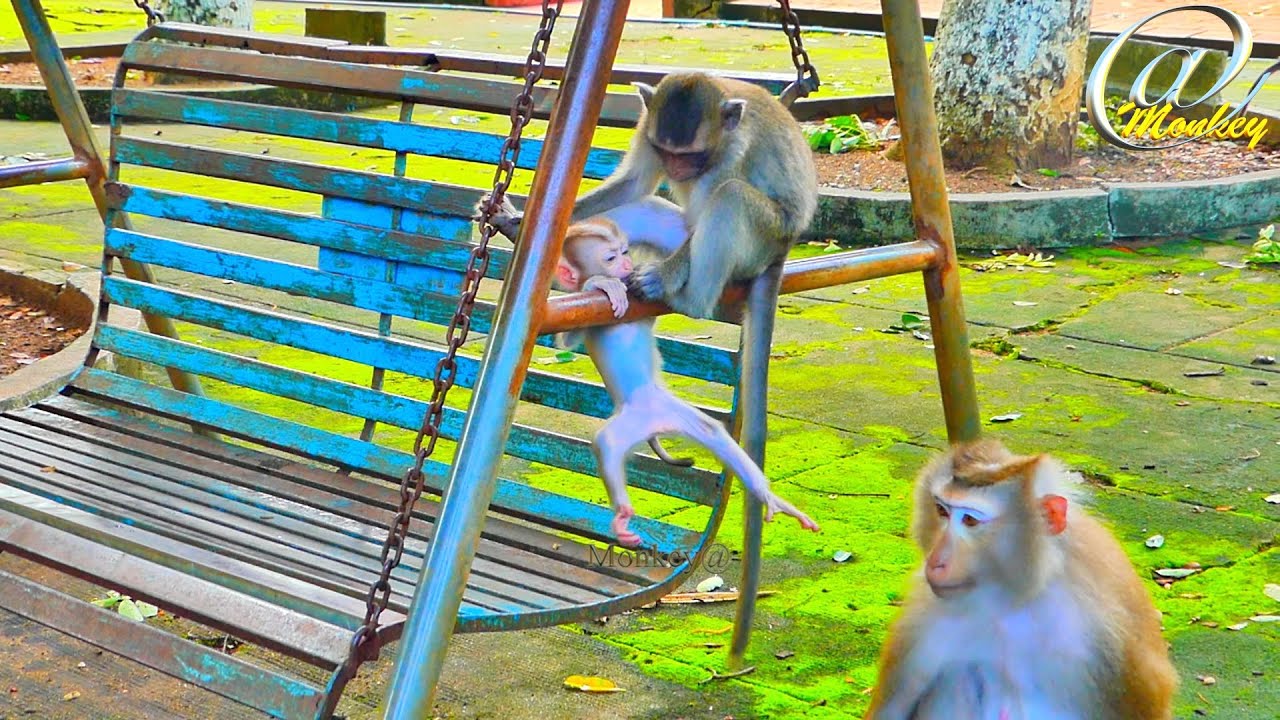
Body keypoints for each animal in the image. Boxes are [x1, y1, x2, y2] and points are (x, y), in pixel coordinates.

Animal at [481, 71, 818, 320]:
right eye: (665, 151)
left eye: (691, 155)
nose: (675, 169)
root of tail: (782, 250)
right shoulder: (647, 130)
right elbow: (633, 185)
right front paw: (516, 220)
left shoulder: (733, 150)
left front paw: (663, 277)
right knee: (643, 209)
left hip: (764, 243)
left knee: (731, 196)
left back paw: (690, 302)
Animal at [554, 212, 819, 547]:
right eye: (611, 257)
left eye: (626, 251)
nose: (626, 264)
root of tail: (654, 424)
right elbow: (568, 337)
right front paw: (601, 282)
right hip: (633, 420)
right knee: (608, 443)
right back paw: (623, 513)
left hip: (672, 413)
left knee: (712, 431)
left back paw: (767, 496)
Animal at [865, 439, 1177, 720]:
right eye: (942, 510)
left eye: (970, 520)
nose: (935, 561)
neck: (1016, 597)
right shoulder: (921, 620)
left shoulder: (1113, 628)